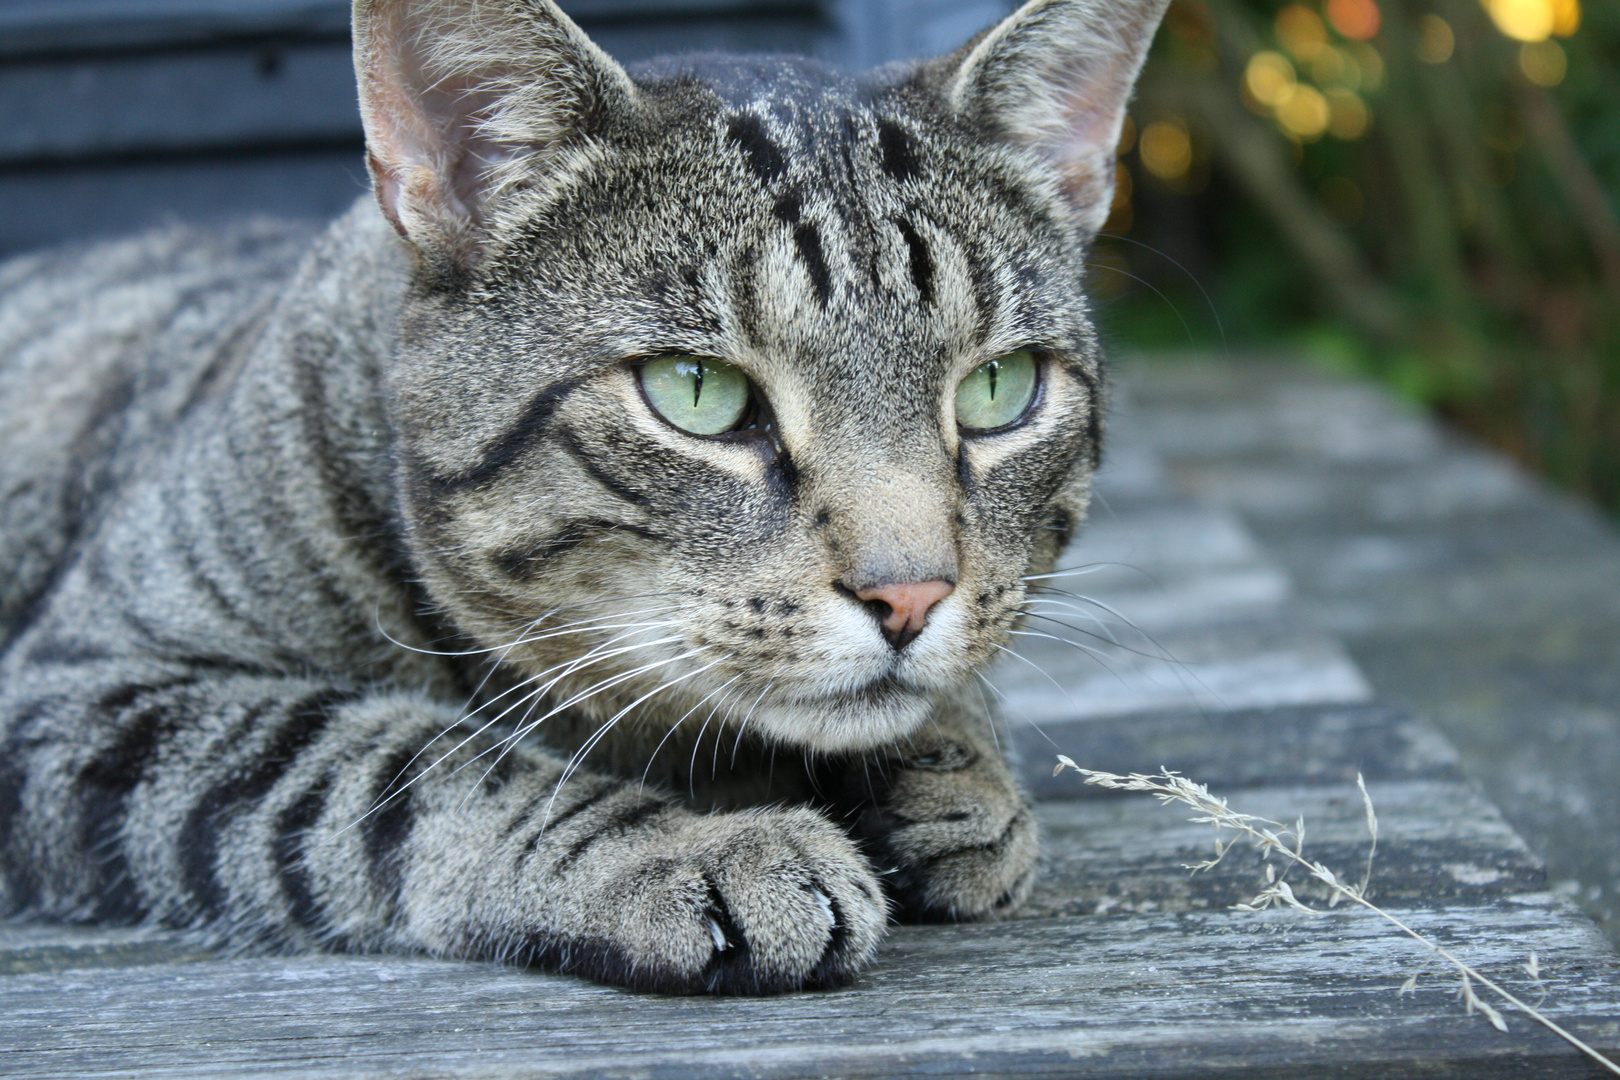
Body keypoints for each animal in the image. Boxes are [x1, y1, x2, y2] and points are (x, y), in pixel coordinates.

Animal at [0, 0, 1166, 997]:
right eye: (697, 392)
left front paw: (958, 767)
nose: (911, 596)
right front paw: (693, 845)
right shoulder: (85, 688)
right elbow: (408, 763)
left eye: (998, 388)